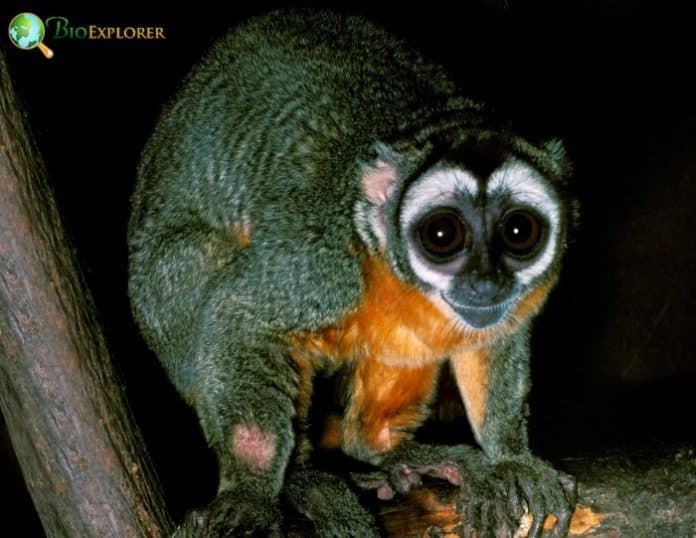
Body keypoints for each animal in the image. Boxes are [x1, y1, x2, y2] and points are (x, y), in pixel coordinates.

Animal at [128, 9, 578, 538]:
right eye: (442, 235)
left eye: (519, 231)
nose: (486, 283)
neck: (385, 263)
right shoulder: (319, 266)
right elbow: (238, 315)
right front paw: (252, 494)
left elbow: (494, 338)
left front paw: (510, 458)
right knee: (203, 265)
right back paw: (304, 480)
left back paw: (389, 451)